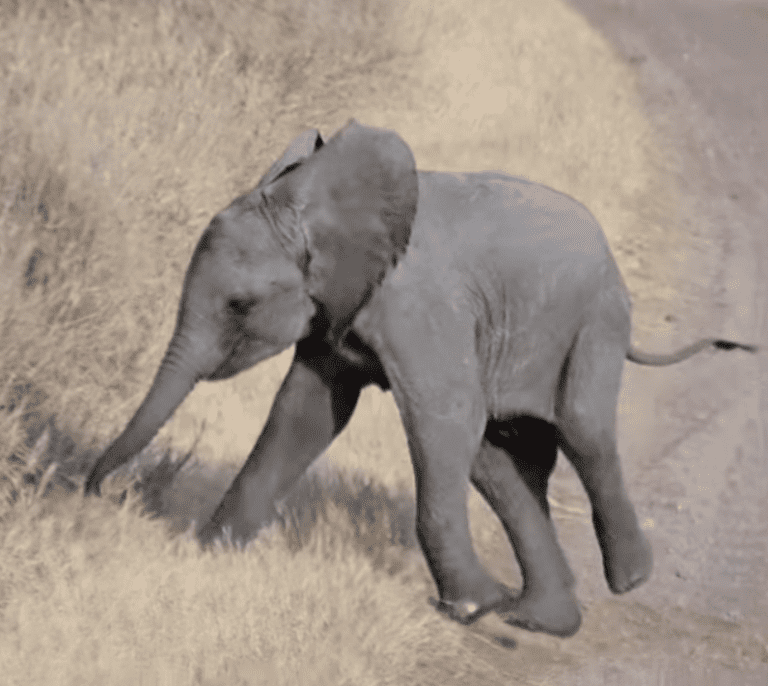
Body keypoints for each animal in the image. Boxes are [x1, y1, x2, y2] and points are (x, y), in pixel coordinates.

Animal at [85, 120, 756, 637]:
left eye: (238, 306)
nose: (95, 491)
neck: (312, 201)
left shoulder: (421, 307)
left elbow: (444, 414)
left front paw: (471, 608)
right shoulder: (339, 307)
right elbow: (308, 412)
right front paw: (211, 550)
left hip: (593, 323)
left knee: (583, 431)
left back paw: (628, 579)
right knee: (500, 461)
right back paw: (538, 620)